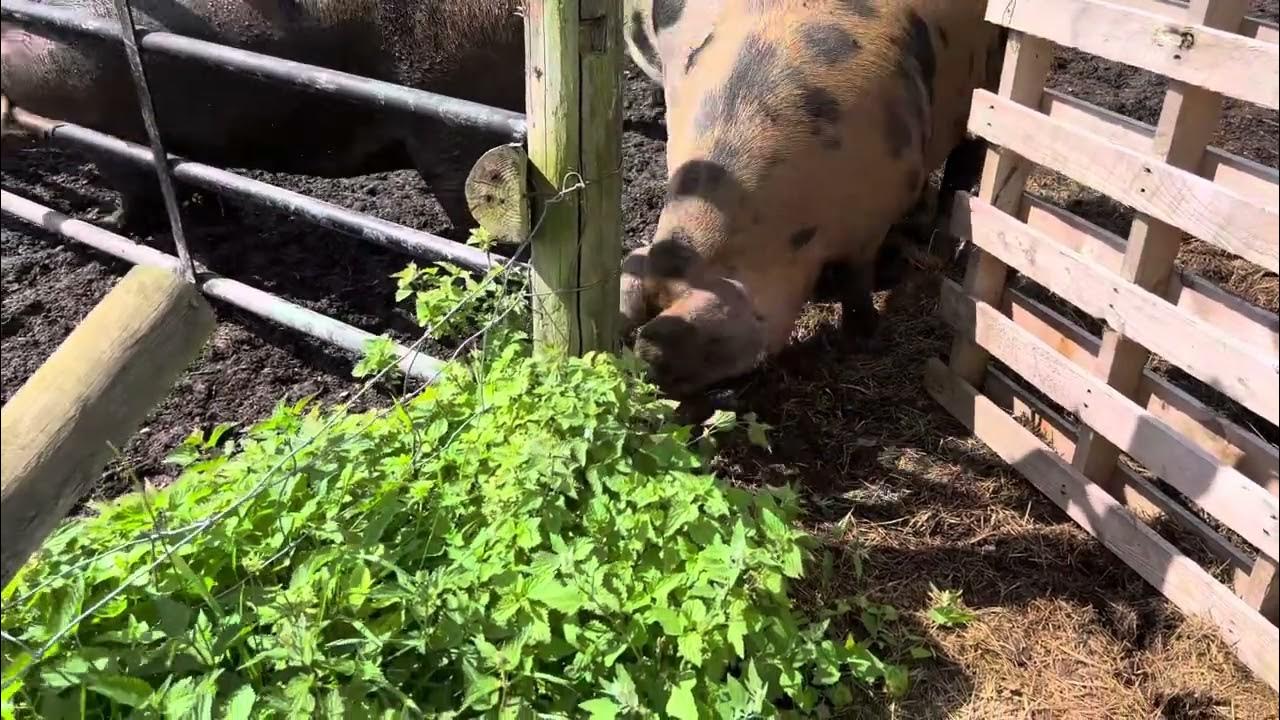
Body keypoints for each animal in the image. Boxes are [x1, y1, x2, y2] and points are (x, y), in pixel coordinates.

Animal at [619, 0, 1004, 395]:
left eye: (710, 347)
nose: (647, 366)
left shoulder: (874, 212)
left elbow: (856, 278)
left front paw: (862, 339)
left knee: (967, 162)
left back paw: (939, 248)